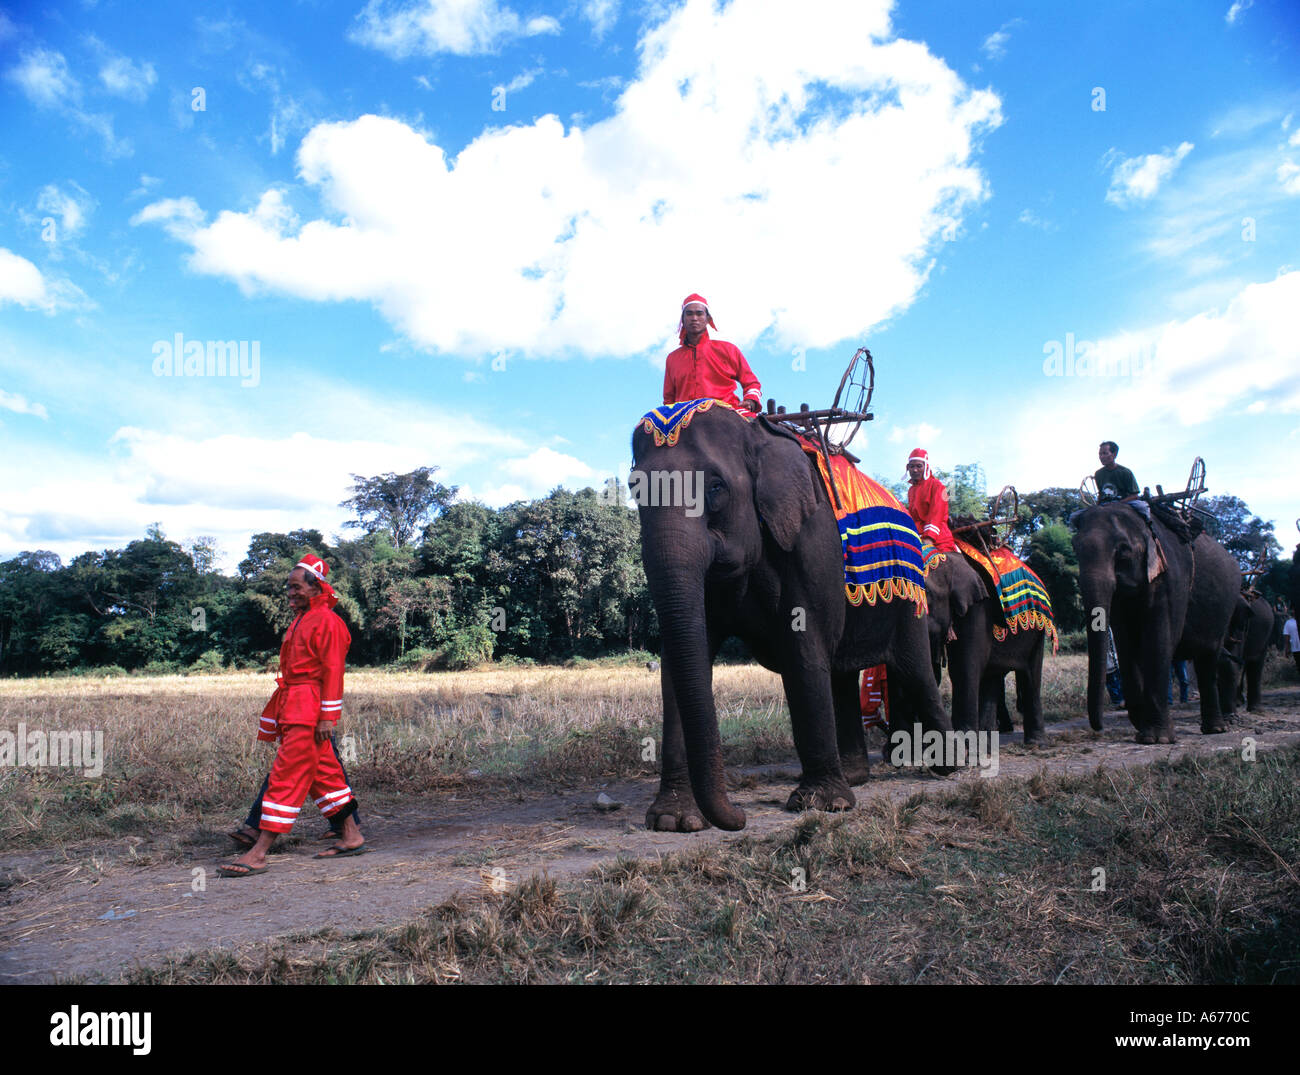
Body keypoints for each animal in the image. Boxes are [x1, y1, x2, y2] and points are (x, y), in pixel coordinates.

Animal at [632, 405, 951, 833]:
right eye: (635, 490)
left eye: (716, 488)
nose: (740, 817)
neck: (755, 436)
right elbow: (680, 661)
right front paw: (673, 821)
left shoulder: (811, 540)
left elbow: (802, 647)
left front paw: (820, 804)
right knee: (842, 673)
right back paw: (855, 777)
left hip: (909, 596)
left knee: (914, 668)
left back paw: (953, 767)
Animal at [1073, 502, 1240, 742]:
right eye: (1074, 548)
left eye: (1123, 550)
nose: (1099, 727)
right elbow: (1126, 644)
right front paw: (1143, 729)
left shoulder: (1172, 577)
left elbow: (1159, 640)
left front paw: (1155, 738)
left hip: (1224, 609)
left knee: (1208, 658)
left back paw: (1216, 729)